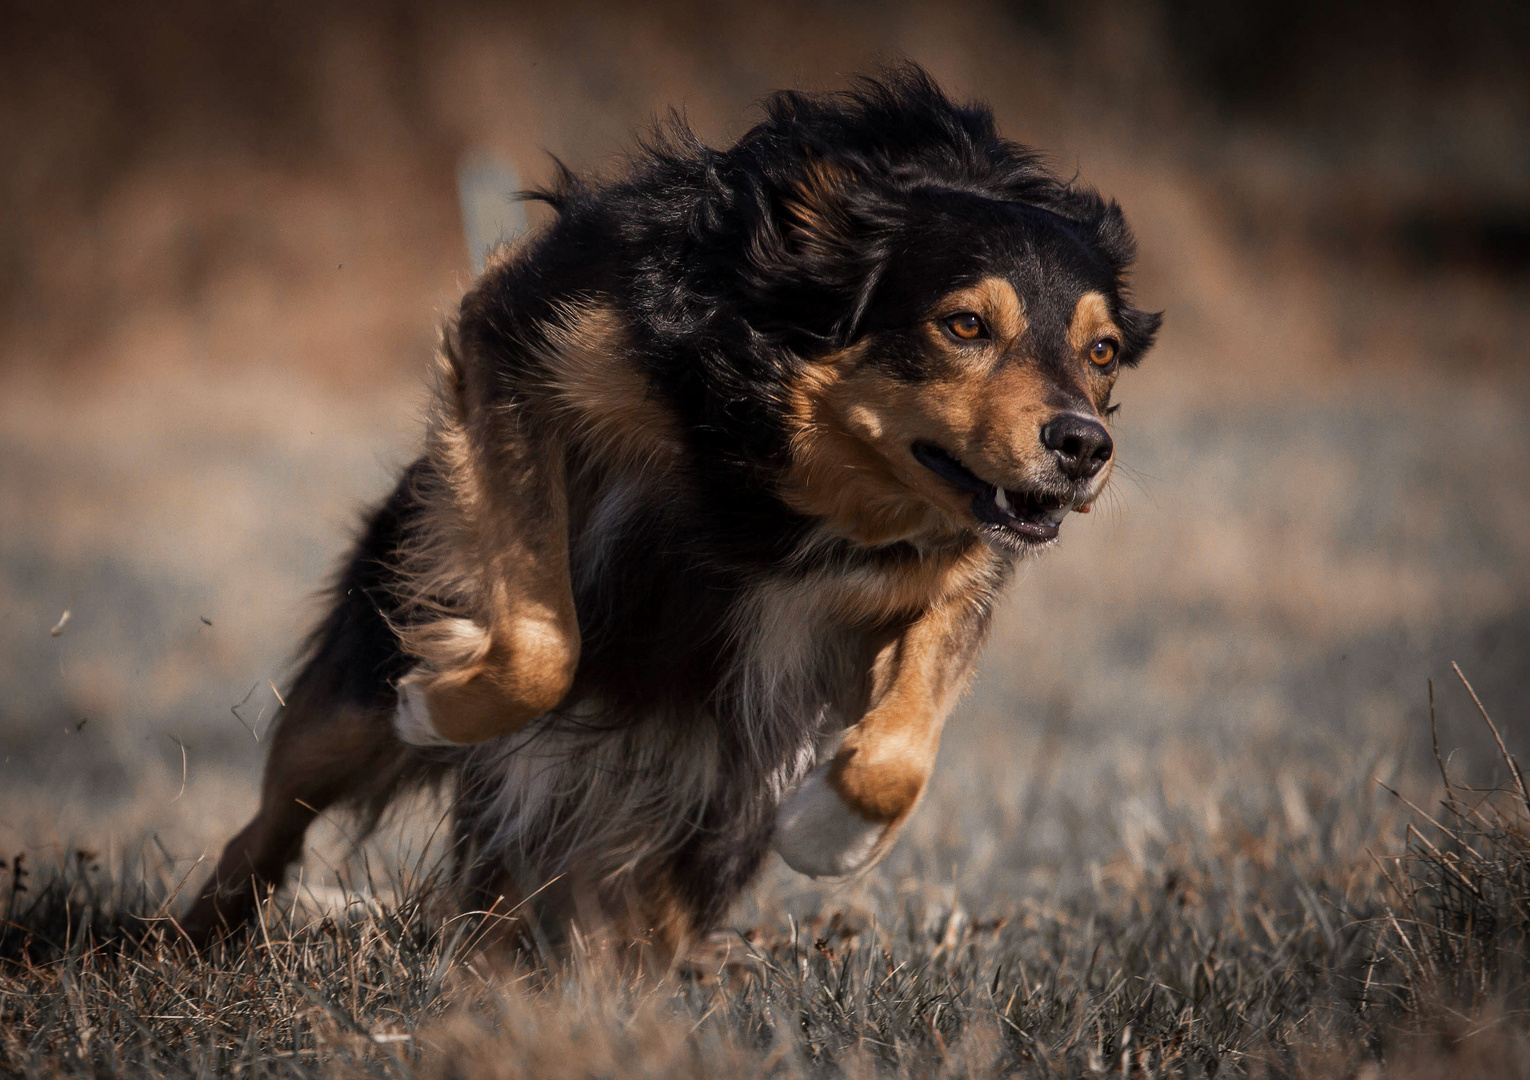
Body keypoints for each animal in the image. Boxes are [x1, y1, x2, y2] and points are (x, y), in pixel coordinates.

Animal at [182, 67, 1156, 954]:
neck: (788, 475)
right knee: (275, 814)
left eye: (1102, 352)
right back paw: (195, 935)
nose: (1084, 447)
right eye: (963, 327)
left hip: (716, 797)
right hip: (357, 680)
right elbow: (541, 643)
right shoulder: (538, 341)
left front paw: (828, 832)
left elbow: (905, 742)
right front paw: (438, 703)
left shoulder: (964, 549)